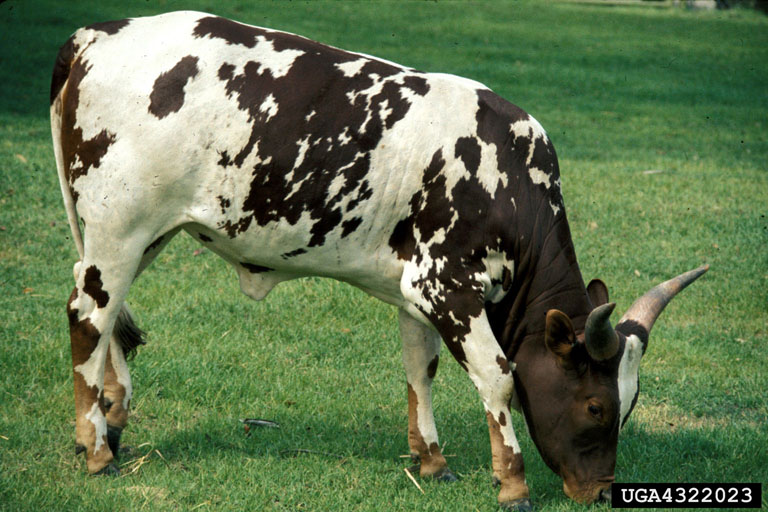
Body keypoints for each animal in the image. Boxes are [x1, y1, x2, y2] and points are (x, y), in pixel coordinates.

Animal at [50, 11, 707, 511]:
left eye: (631, 405)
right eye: (596, 405)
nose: (601, 492)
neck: (508, 179)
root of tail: (96, 33)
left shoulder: (417, 290)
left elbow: (421, 366)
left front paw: (432, 459)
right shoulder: (447, 286)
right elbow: (497, 374)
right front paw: (513, 484)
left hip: (141, 235)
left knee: (109, 321)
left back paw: (113, 417)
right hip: (119, 228)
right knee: (88, 316)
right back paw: (96, 448)